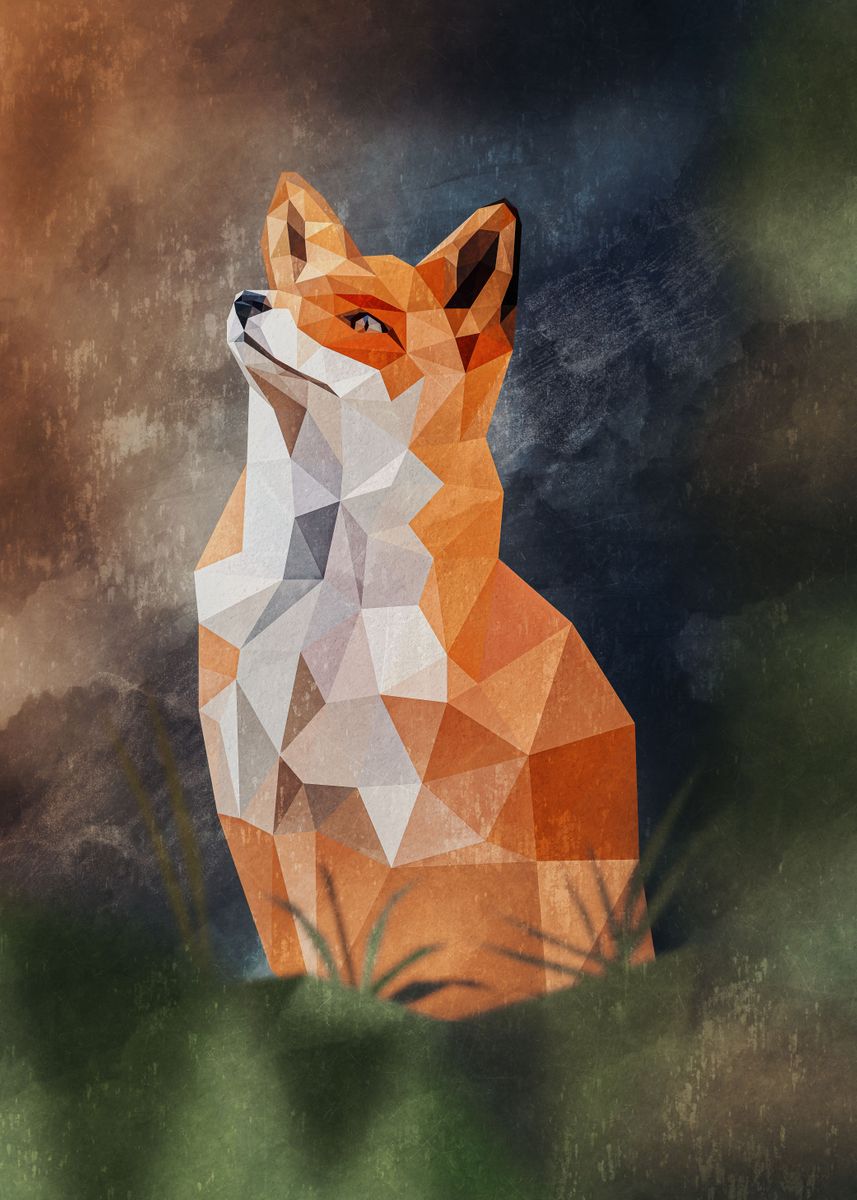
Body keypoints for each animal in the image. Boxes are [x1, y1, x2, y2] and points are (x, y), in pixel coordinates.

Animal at [195, 173, 651, 1018]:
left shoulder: (396, 834)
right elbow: (304, 964)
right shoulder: (256, 817)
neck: (316, 603)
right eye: (291, 287)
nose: (247, 299)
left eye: (365, 322)